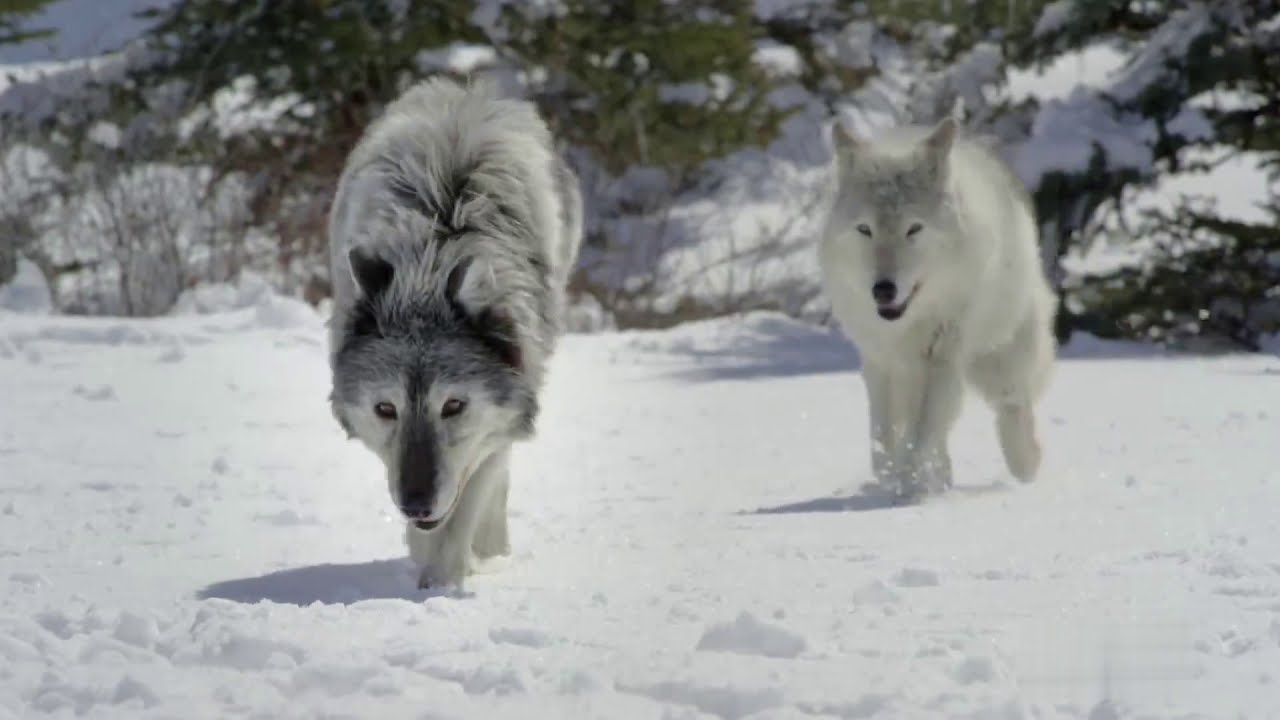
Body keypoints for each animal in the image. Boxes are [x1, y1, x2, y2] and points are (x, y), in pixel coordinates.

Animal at [326, 78, 583, 588]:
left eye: (454, 406)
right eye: (386, 409)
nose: (416, 503)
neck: (431, 251)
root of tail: (468, 88)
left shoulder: (503, 415)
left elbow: (466, 508)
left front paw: (443, 587)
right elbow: (429, 534)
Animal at [817, 117, 1057, 499]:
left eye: (913, 229)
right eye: (865, 229)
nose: (883, 290)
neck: (907, 325)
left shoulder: (941, 356)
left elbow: (922, 433)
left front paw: (911, 487)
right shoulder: (881, 361)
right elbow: (883, 441)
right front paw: (896, 480)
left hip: (1000, 356)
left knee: (1013, 402)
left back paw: (1025, 463)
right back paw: (942, 477)